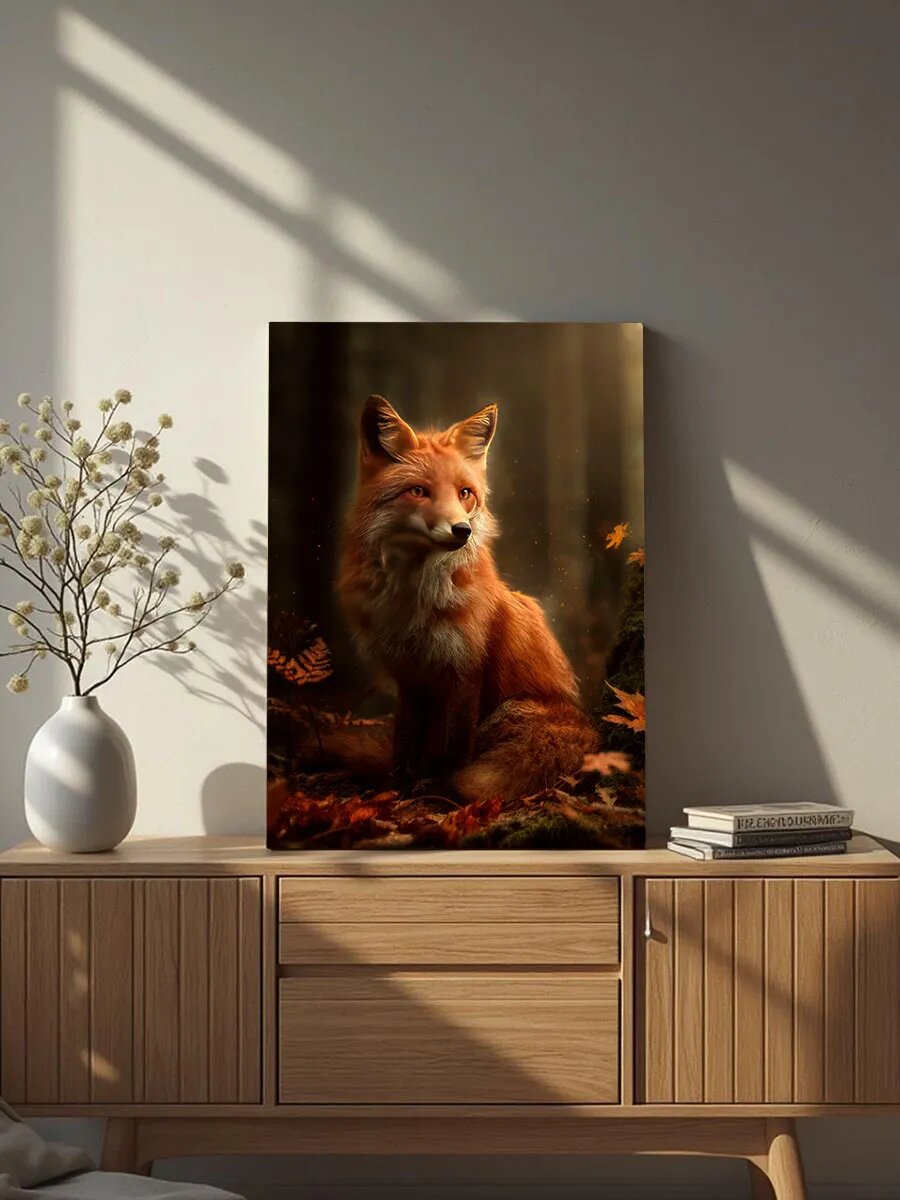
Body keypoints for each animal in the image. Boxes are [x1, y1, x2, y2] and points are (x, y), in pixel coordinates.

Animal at [337, 394, 596, 804]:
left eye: (464, 494)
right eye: (418, 491)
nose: (462, 530)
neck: (415, 599)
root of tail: (585, 724)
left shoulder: (466, 667)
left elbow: (457, 745)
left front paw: (444, 788)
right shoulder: (408, 673)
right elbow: (403, 739)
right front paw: (398, 786)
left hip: (510, 708)